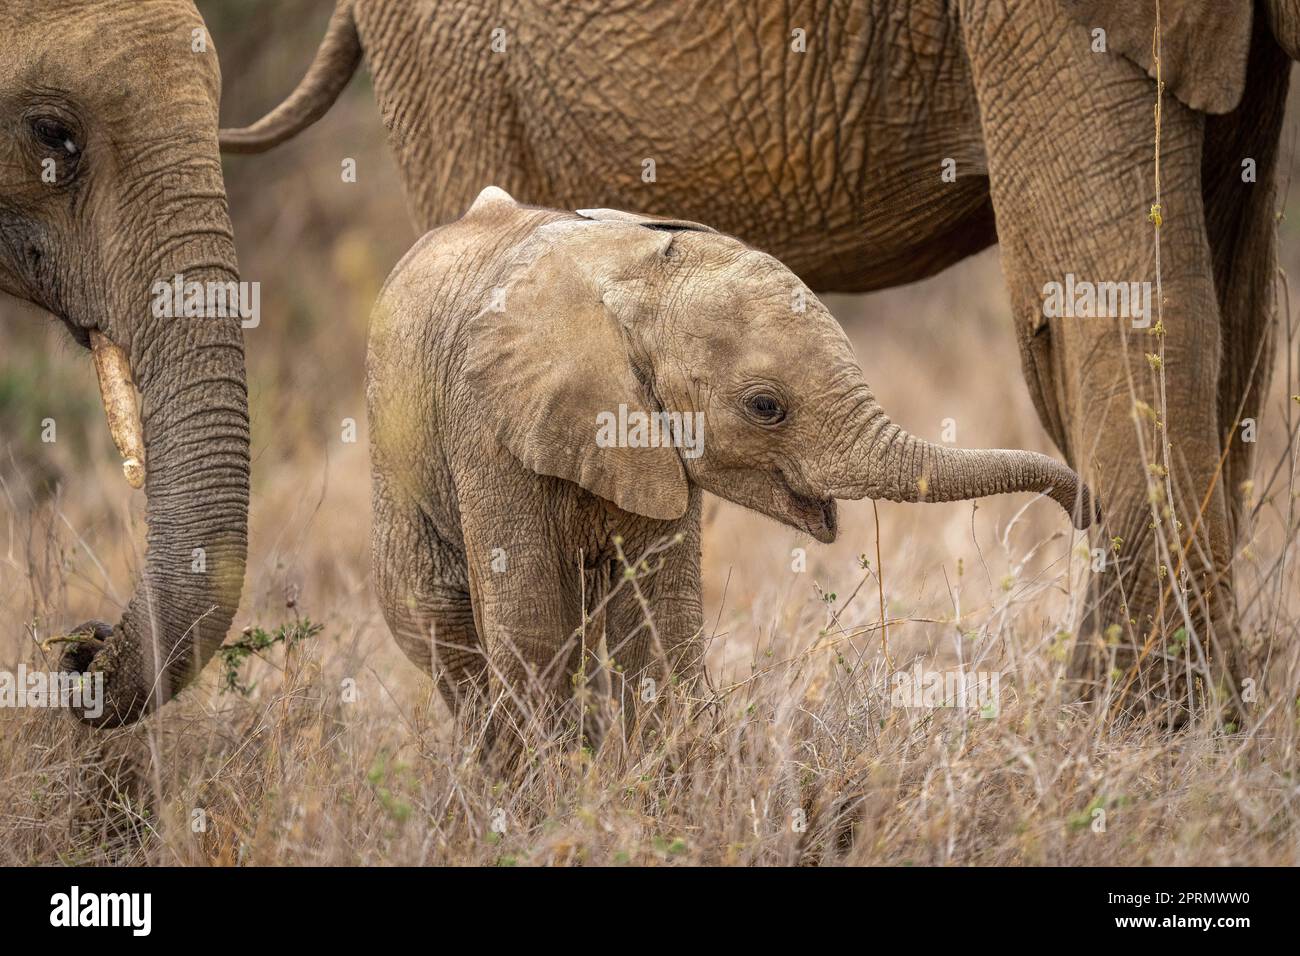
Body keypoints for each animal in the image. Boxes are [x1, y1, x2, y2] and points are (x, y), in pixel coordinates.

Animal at [366, 186, 1093, 743]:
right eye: (766, 406)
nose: (1087, 511)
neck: (629, 282)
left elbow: (658, 626)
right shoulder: (489, 429)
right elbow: (532, 627)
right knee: (447, 634)